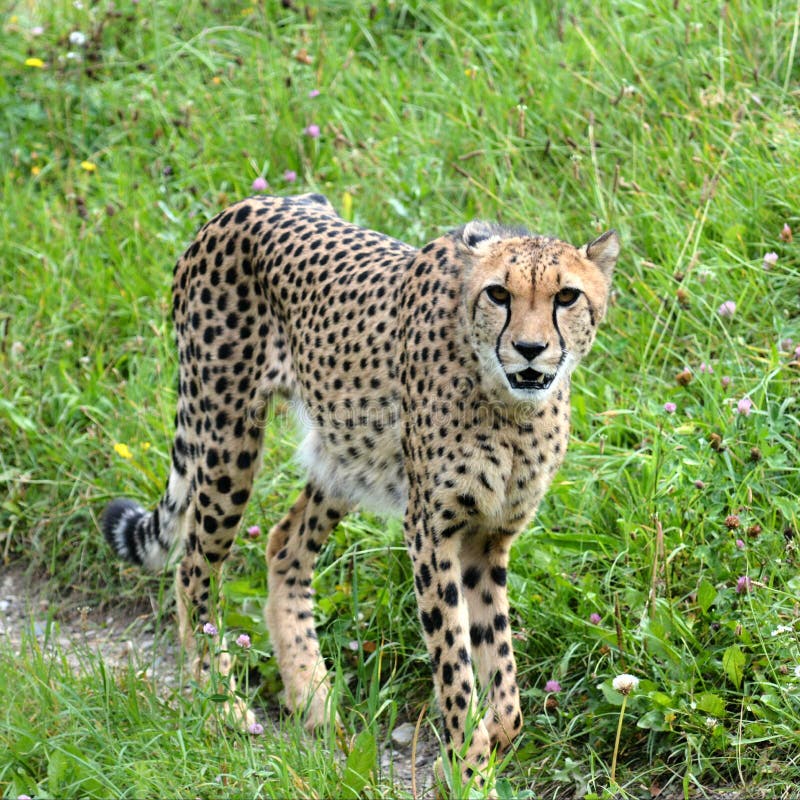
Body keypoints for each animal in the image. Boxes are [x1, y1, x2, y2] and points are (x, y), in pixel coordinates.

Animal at [101, 192, 618, 794]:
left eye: (566, 296)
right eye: (498, 293)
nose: (530, 349)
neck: (510, 407)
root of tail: (253, 201)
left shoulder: (488, 540)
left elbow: (506, 688)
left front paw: (481, 746)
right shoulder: (431, 532)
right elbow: (455, 666)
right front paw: (467, 767)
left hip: (347, 458)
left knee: (284, 545)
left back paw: (312, 695)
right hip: (226, 435)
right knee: (194, 565)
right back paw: (220, 702)